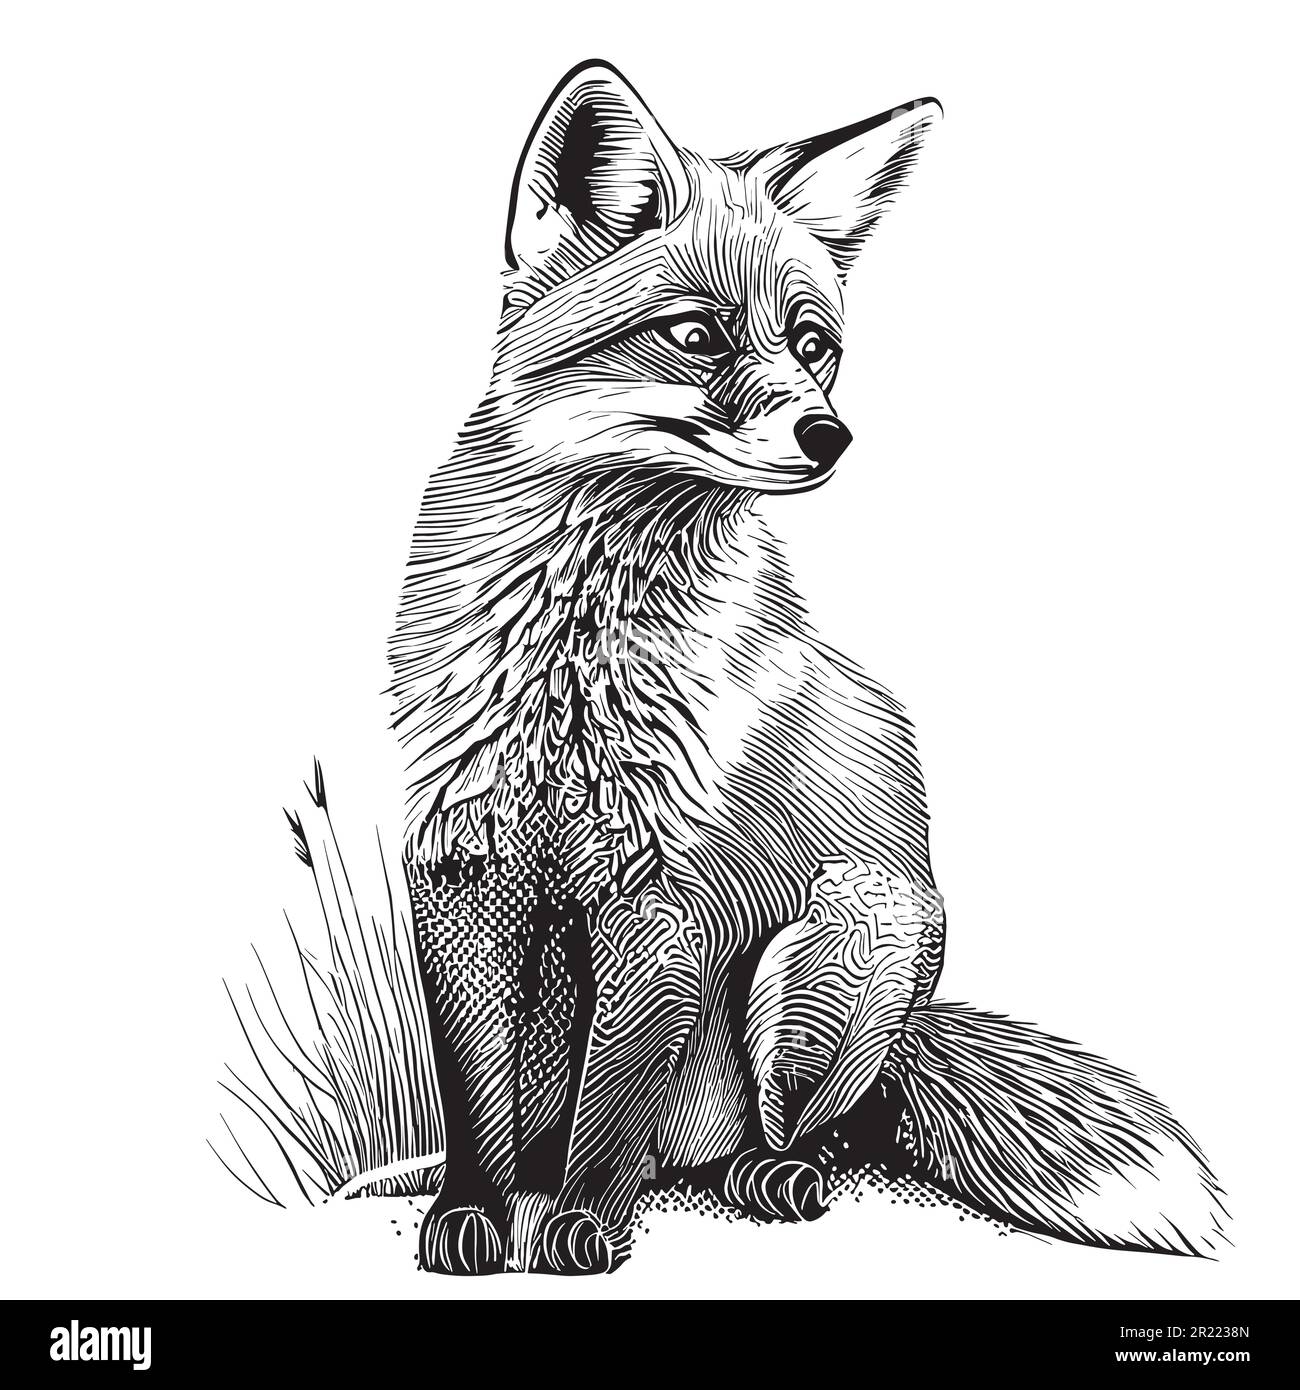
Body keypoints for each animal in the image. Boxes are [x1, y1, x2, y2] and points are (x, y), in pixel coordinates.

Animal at [388, 59, 1227, 1274]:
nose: (831, 436)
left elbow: (611, 1107)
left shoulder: (667, 899)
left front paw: (584, 1225)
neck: (577, 665)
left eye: (812, 343)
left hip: (836, 942)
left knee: (816, 1124)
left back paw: (773, 1172)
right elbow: (473, 1100)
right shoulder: (462, 870)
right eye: (695, 334)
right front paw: (471, 1216)